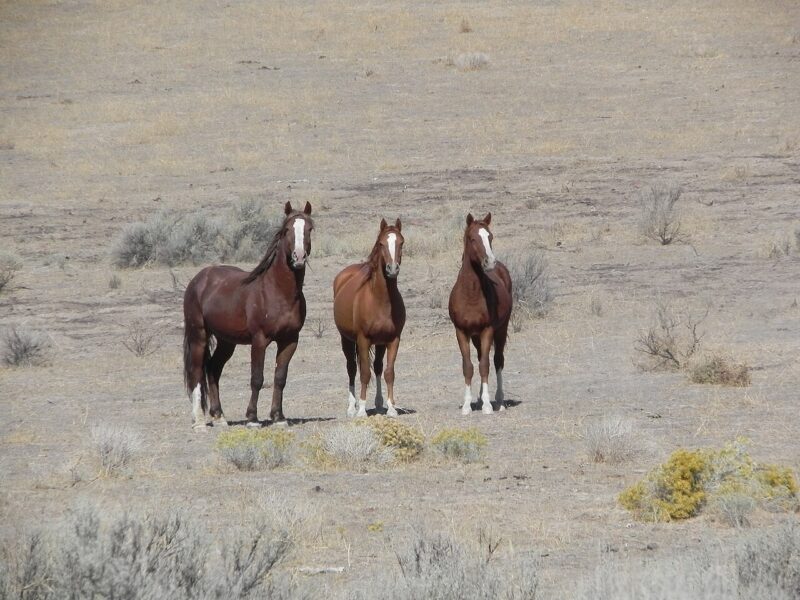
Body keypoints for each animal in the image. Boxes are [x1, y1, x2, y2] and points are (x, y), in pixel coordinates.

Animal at [182, 201, 313, 430]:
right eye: (287, 230)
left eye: (310, 229)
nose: (298, 257)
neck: (278, 292)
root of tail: (198, 279)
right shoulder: (259, 340)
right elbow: (257, 378)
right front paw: (252, 418)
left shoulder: (290, 340)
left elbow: (280, 378)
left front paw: (278, 417)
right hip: (198, 335)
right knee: (196, 372)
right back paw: (199, 421)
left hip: (227, 341)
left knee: (213, 369)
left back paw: (219, 416)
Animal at [333, 218, 406, 418]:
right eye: (381, 243)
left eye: (401, 242)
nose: (392, 269)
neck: (381, 301)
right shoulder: (363, 339)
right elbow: (364, 373)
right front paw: (362, 410)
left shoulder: (393, 339)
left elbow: (389, 372)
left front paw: (391, 408)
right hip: (347, 339)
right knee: (352, 368)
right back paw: (352, 407)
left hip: (379, 343)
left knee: (378, 367)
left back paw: (379, 404)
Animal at [448, 212, 513, 415]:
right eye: (472, 238)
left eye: (490, 237)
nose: (490, 262)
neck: (471, 294)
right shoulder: (461, 332)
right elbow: (468, 366)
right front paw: (467, 405)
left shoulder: (487, 330)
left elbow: (485, 365)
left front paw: (487, 406)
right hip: (476, 336)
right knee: (479, 359)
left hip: (501, 329)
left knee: (498, 360)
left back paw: (499, 401)